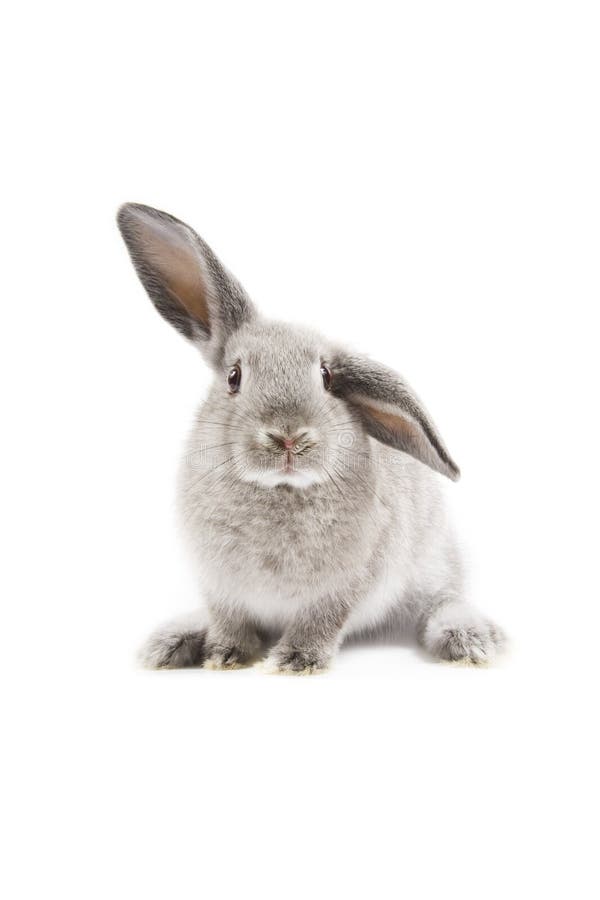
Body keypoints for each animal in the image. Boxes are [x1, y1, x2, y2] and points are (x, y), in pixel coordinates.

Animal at [117, 203, 505, 674]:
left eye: (326, 378)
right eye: (234, 377)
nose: (288, 437)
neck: (280, 491)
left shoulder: (345, 587)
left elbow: (321, 621)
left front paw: (295, 661)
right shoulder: (221, 589)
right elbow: (229, 621)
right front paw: (224, 654)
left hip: (432, 569)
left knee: (444, 600)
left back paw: (469, 639)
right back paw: (171, 640)